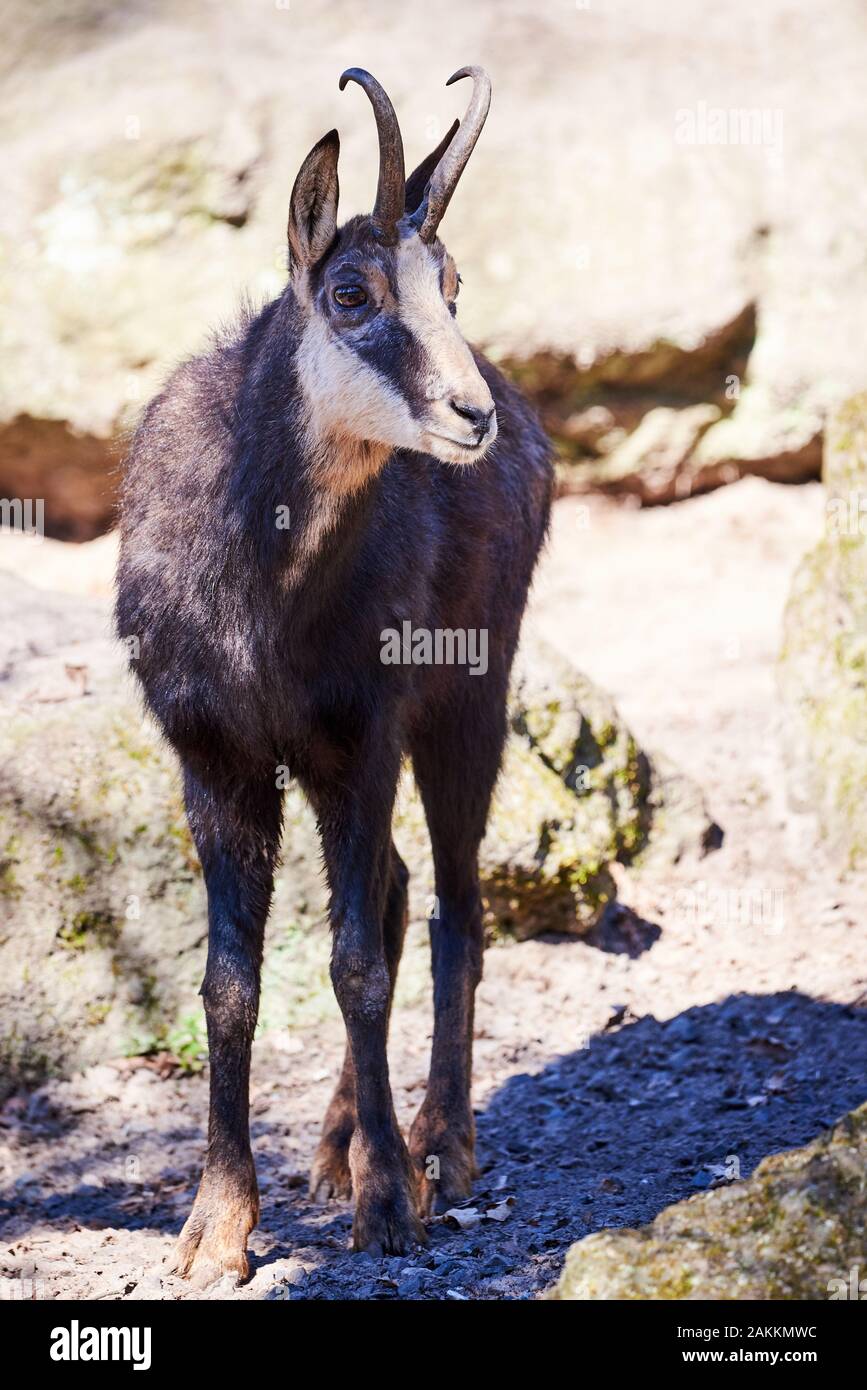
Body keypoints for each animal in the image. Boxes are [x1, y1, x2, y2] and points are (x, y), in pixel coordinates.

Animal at [115, 65, 553, 1282]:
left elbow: (355, 960)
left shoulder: (361, 737)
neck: (265, 583)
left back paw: (438, 1143)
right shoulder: (217, 755)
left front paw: (391, 1203)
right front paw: (218, 1225)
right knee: (402, 889)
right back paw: (340, 1140)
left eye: (451, 284)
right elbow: (228, 981)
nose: (468, 414)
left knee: (452, 905)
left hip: (466, 701)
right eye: (351, 293)